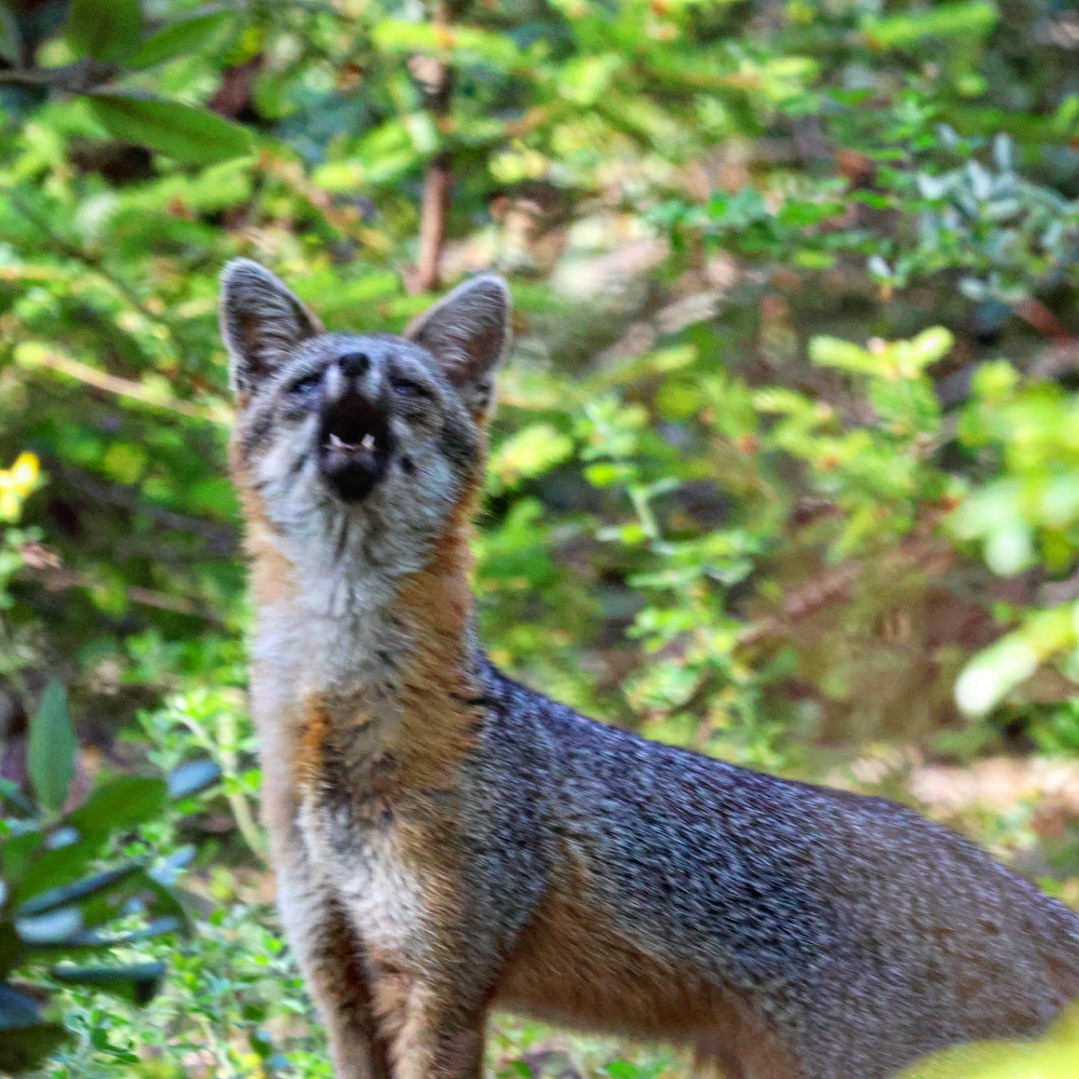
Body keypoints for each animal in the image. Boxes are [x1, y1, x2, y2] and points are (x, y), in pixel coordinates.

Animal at [221, 258, 1079, 1079]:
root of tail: (1002, 883)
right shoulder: (336, 974)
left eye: (406, 385)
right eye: (306, 381)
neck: (337, 732)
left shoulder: (441, 980)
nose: (355, 365)